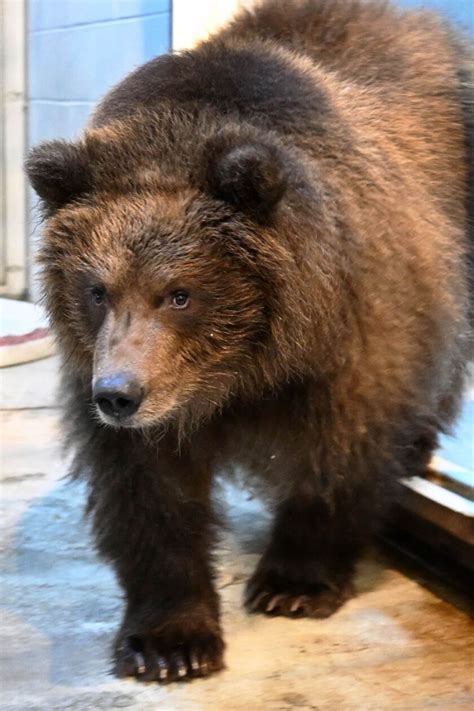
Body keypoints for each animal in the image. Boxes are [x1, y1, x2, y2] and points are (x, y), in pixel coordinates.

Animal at [26, 0, 472, 684]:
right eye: (97, 289)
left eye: (179, 293)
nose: (119, 394)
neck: (244, 368)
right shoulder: (118, 376)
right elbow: (147, 489)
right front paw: (169, 641)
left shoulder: (351, 332)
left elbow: (341, 448)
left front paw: (294, 583)